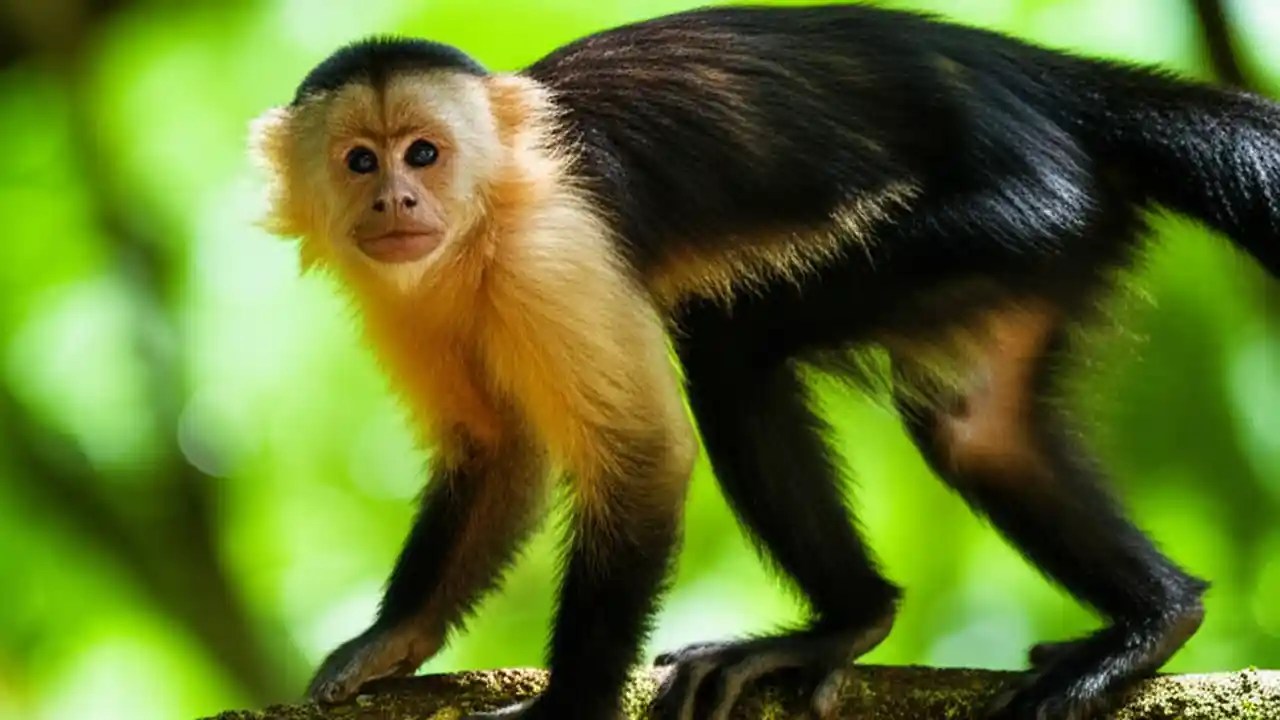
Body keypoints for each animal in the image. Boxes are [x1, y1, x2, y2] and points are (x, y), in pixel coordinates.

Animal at [248, 3, 1280, 720]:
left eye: (423, 154)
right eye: (360, 163)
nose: (396, 203)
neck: (481, 226)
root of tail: (1043, 82)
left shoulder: (550, 250)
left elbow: (642, 457)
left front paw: (568, 707)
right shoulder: (400, 292)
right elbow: (497, 448)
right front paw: (393, 639)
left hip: (1023, 209)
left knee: (731, 342)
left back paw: (846, 624)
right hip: (1048, 248)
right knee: (978, 431)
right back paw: (1156, 617)